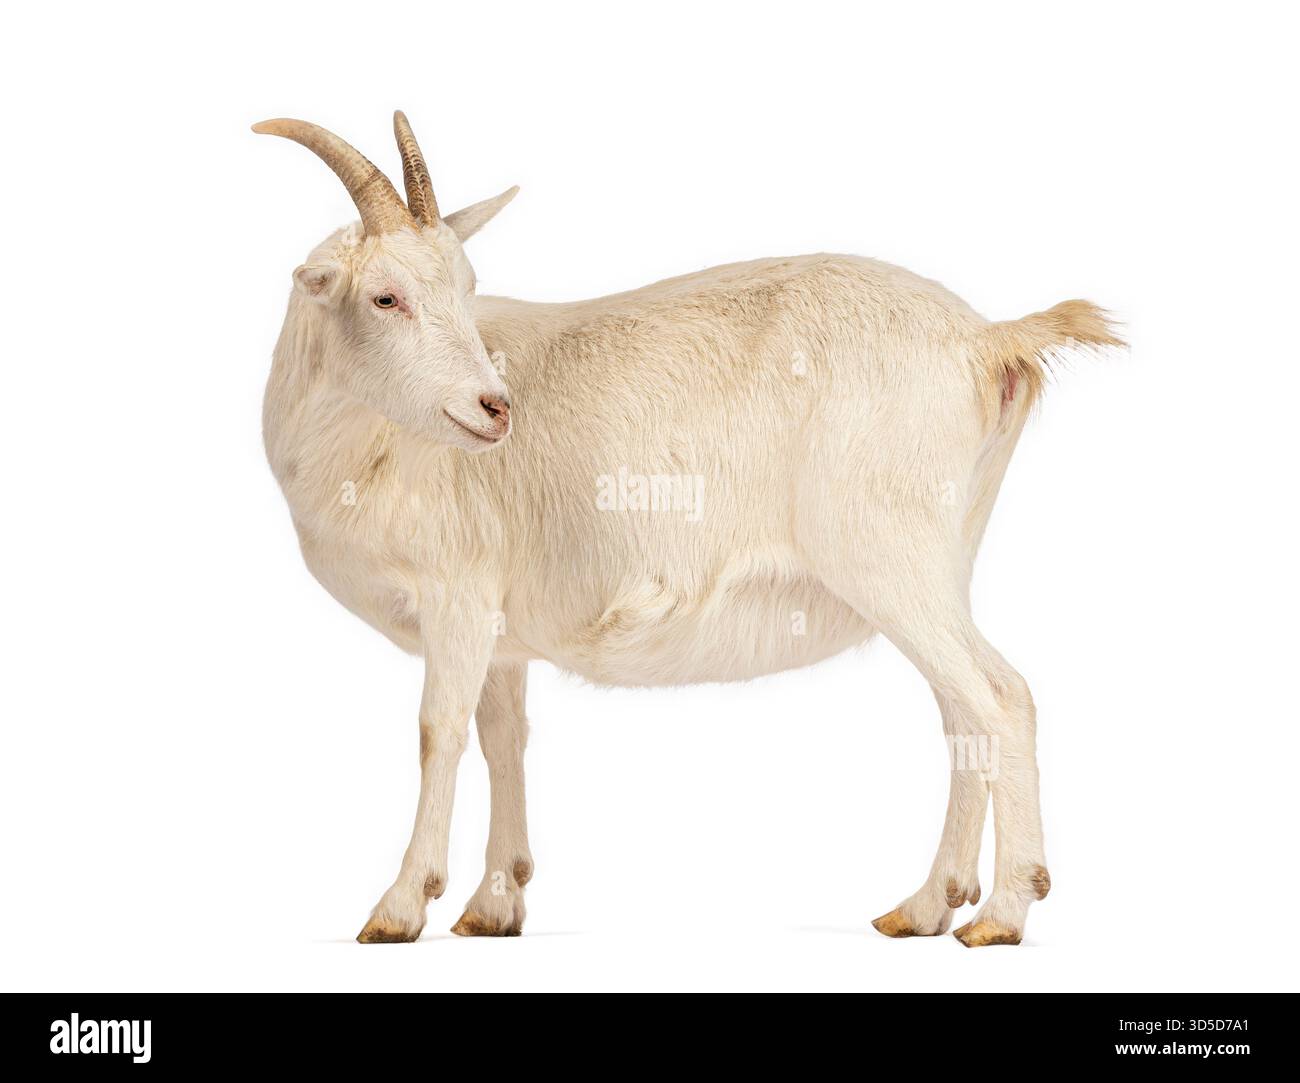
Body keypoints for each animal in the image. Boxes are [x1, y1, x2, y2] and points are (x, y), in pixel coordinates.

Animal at [255, 112, 1120, 947]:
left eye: (467, 287)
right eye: (386, 297)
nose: (494, 408)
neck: (372, 445)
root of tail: (989, 341)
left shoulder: (456, 596)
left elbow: (440, 731)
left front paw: (400, 906)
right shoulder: (501, 629)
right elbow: (505, 737)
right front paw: (496, 904)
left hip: (889, 553)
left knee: (1000, 697)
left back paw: (1002, 912)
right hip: (940, 561)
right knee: (961, 713)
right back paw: (926, 906)